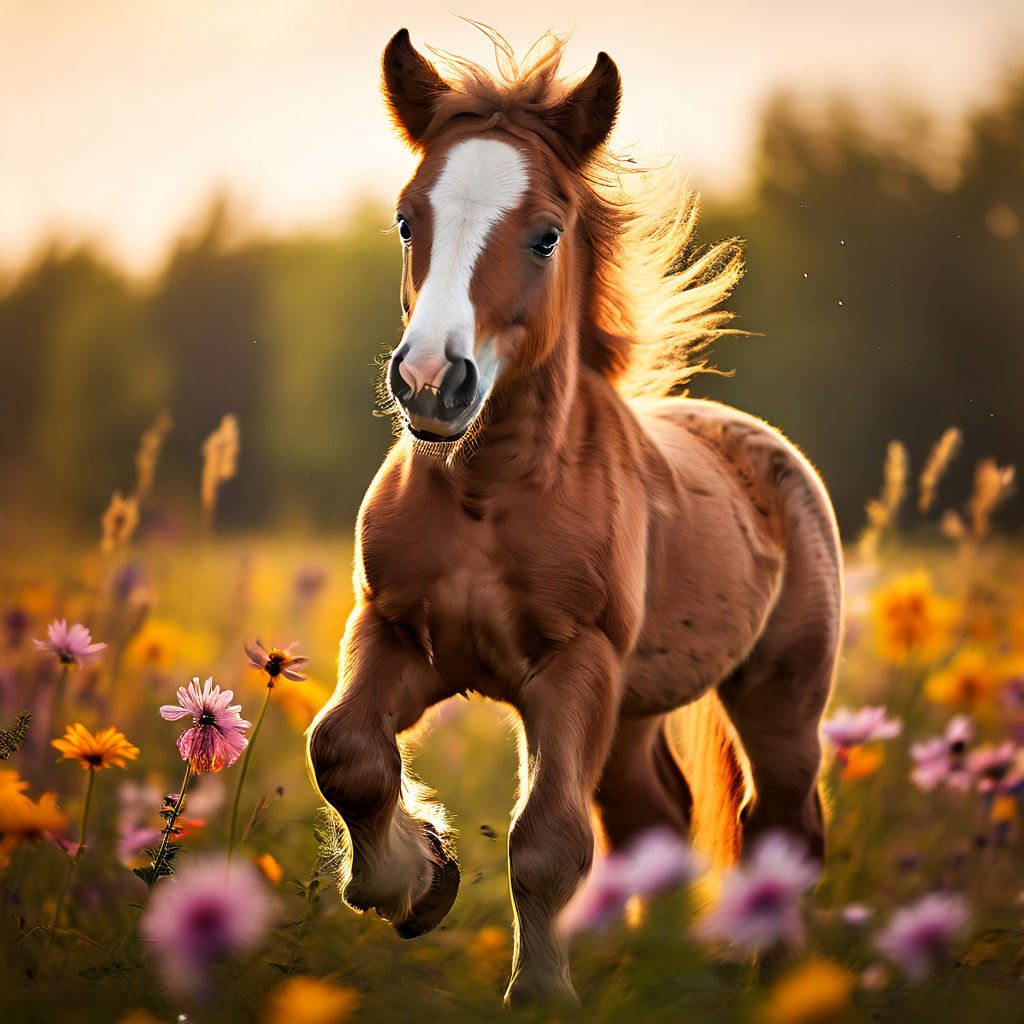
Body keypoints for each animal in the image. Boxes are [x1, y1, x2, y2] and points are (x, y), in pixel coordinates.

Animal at [308, 27, 842, 1005]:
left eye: (546, 234)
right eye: (407, 219)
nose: (431, 383)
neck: (488, 497)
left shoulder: (573, 666)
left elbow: (549, 841)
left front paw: (541, 996)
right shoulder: (395, 634)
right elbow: (346, 752)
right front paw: (416, 881)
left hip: (778, 694)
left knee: (783, 824)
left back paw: (777, 979)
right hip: (632, 713)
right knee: (655, 818)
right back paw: (664, 971)